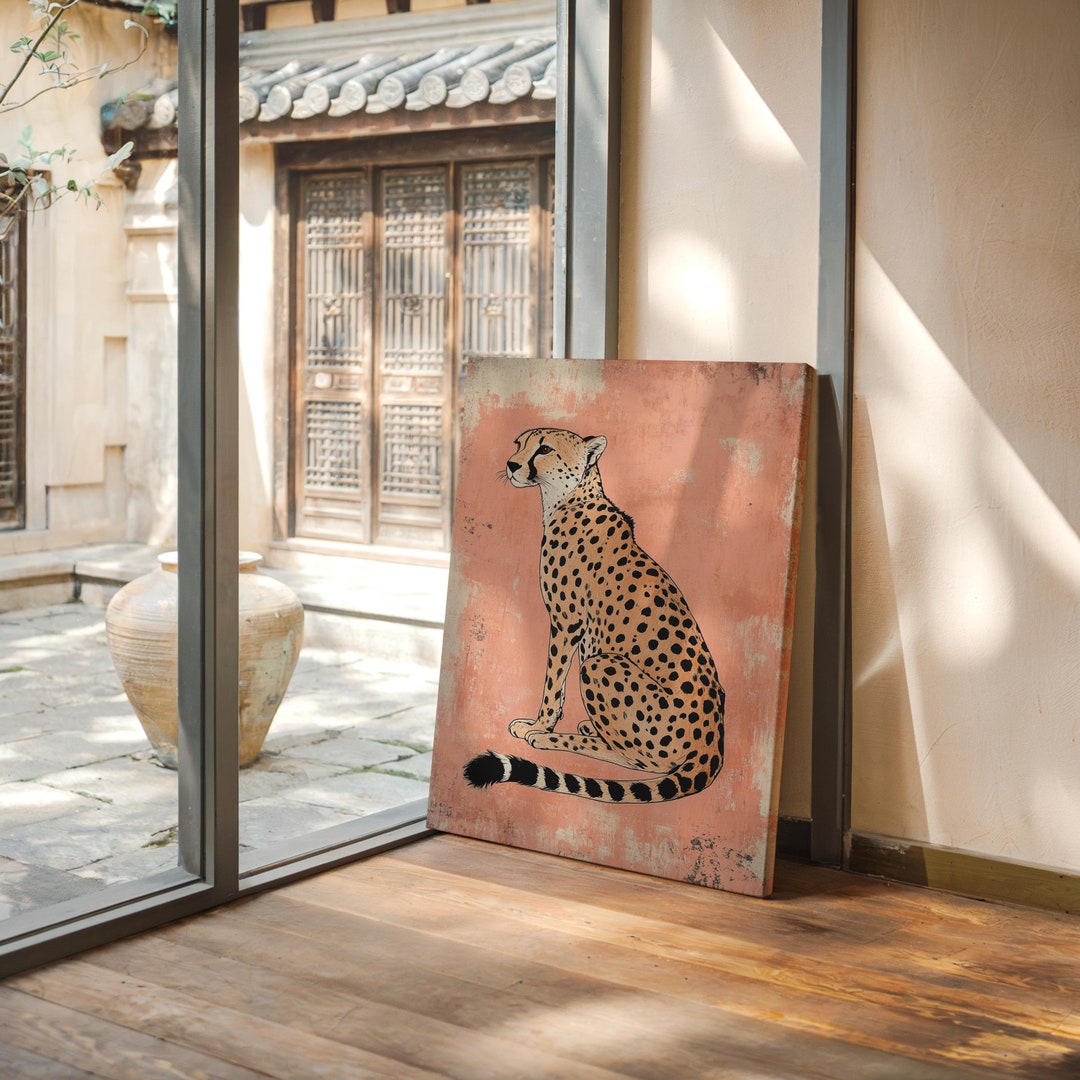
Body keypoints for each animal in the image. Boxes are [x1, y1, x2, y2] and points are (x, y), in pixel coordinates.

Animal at [463, 427, 725, 804]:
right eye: (519, 444)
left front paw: (538, 726)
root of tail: (712, 742)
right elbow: (557, 684)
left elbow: (553, 682)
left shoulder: (566, 621)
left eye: (544, 449)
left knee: (638, 759)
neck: (565, 498)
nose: (511, 464)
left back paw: (553, 739)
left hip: (601, 664)